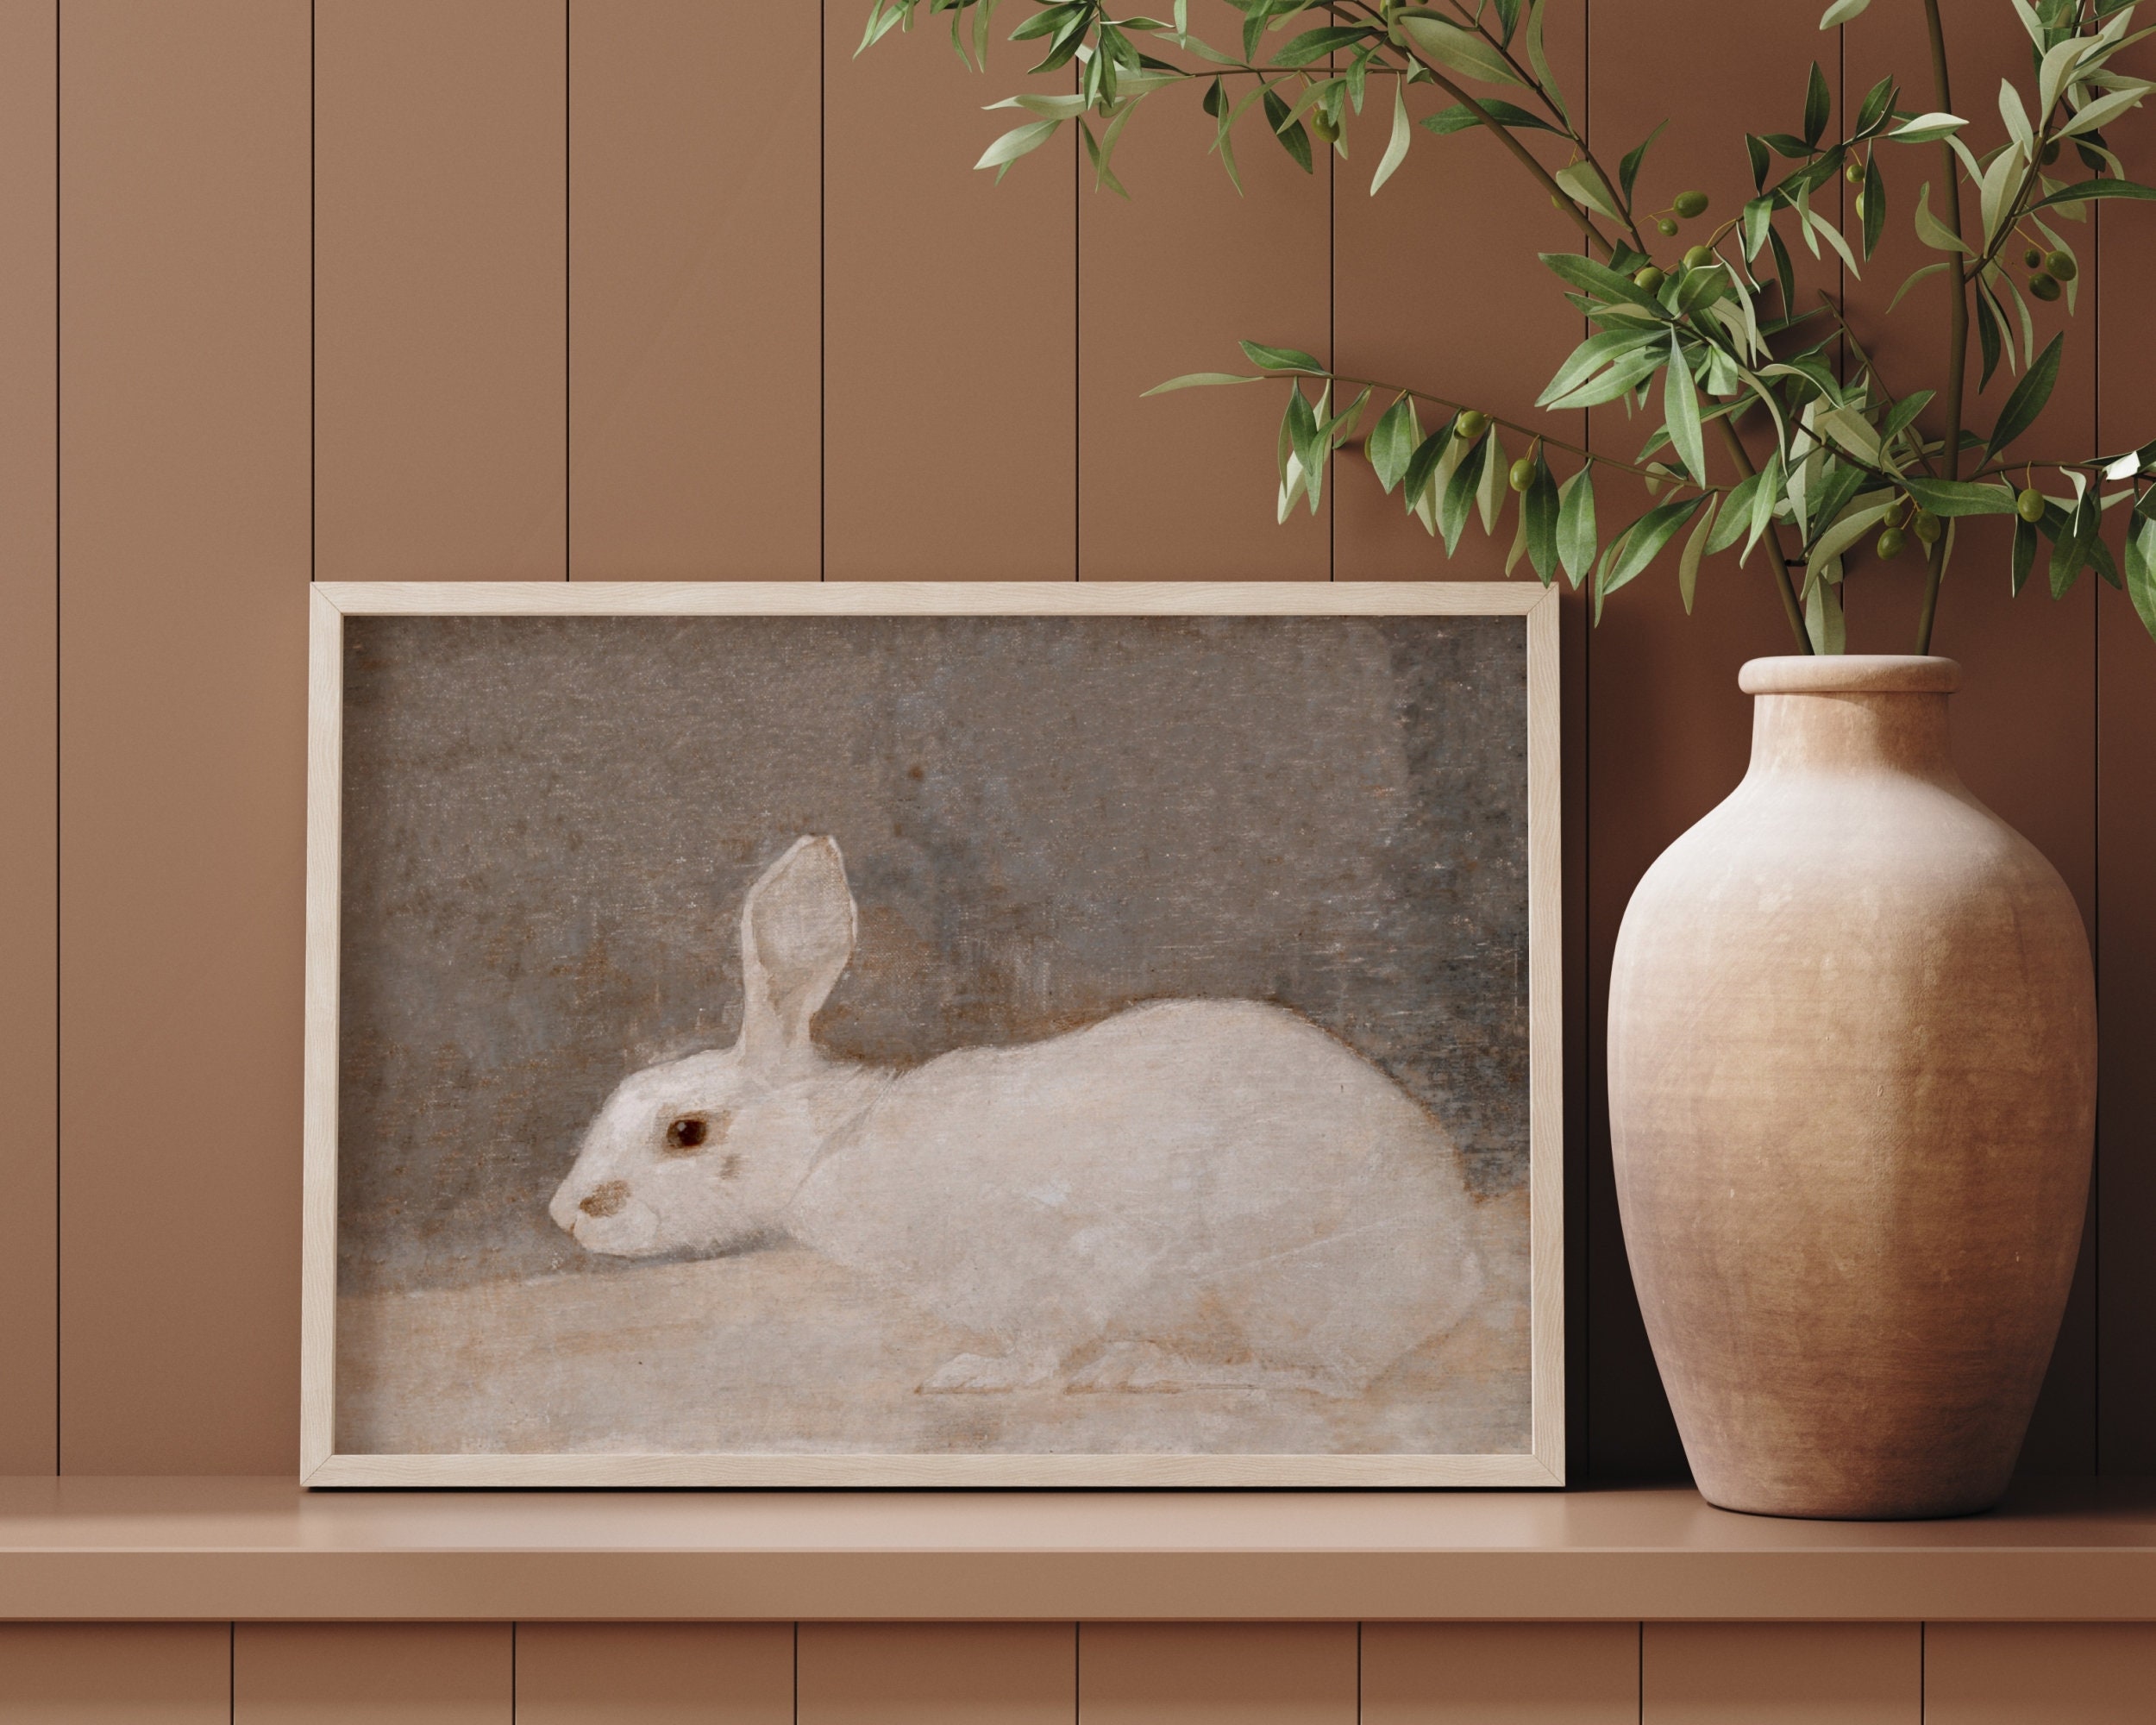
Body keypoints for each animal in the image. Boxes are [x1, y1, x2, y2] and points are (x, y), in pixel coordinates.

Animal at [550, 835, 1487, 1397]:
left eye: (687, 1132)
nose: (567, 1212)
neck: (831, 1145)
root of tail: (1452, 1270)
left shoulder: (1064, 1271)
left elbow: (1041, 1354)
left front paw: (972, 1375)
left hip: (1288, 1286)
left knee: (1324, 1377)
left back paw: (1145, 1365)